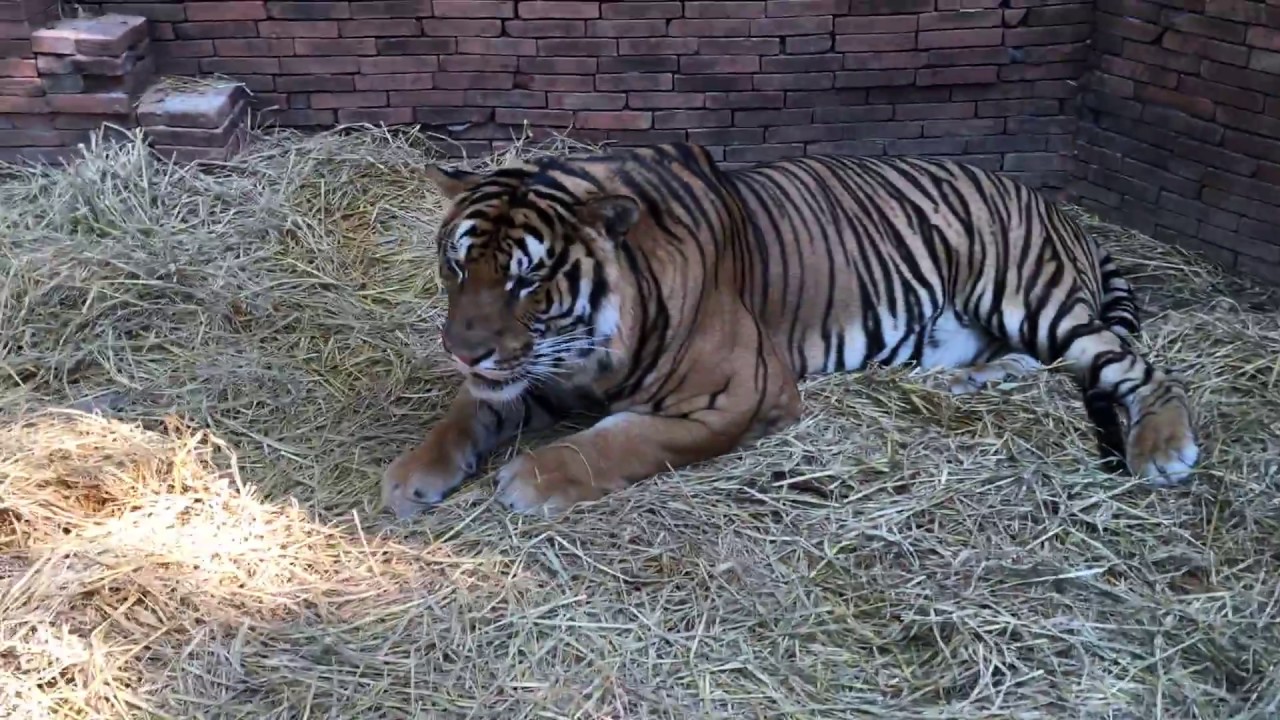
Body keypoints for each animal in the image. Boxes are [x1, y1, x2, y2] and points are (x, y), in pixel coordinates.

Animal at [380, 142, 1199, 520]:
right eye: (458, 266)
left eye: (526, 280)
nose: (462, 348)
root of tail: (1060, 209)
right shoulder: (532, 375)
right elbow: (465, 413)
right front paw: (411, 475)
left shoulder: (734, 395)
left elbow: (620, 440)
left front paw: (531, 478)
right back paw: (974, 379)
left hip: (1035, 301)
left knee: (1132, 364)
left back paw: (1163, 449)